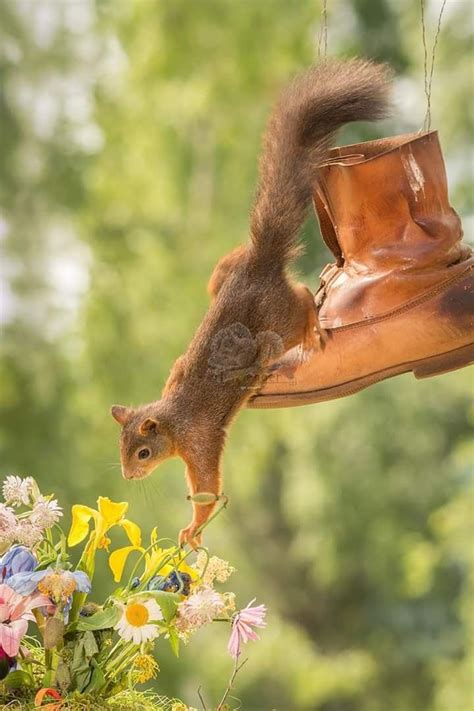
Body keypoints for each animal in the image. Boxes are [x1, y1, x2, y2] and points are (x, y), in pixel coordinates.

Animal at [111, 59, 392, 548]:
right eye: (121, 448)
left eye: (143, 452)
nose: (128, 476)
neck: (172, 417)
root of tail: (260, 261)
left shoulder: (201, 440)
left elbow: (206, 486)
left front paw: (193, 530)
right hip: (220, 275)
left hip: (281, 322)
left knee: (303, 299)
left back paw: (315, 324)